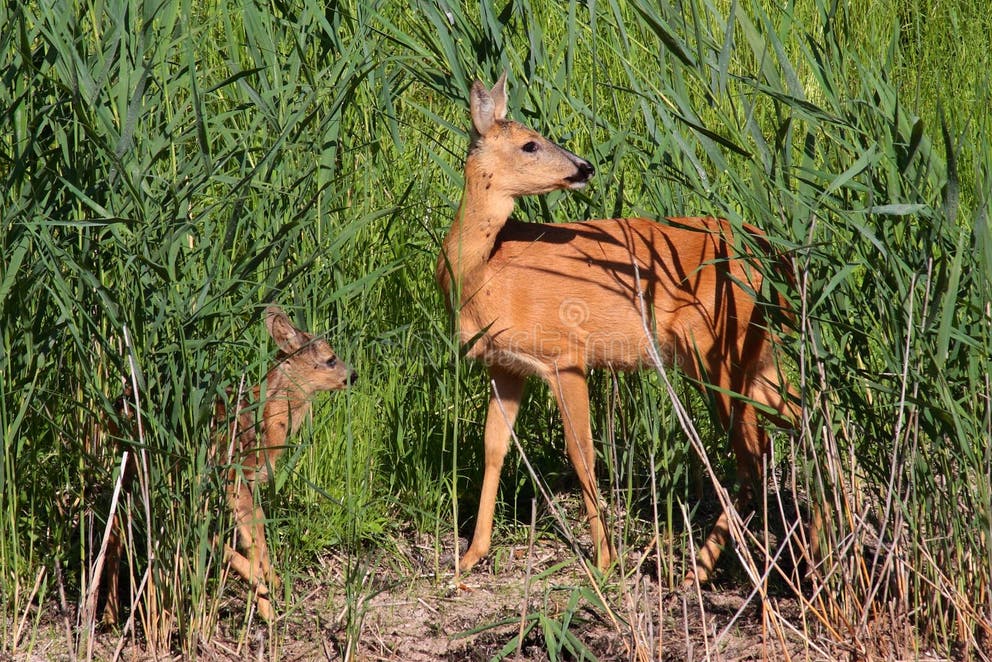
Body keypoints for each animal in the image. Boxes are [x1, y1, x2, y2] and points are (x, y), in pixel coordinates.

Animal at [99, 306, 356, 623]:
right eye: (330, 358)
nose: (354, 375)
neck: (267, 416)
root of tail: (114, 408)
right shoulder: (236, 474)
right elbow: (252, 536)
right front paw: (266, 601)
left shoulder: (248, 481)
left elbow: (255, 535)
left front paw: (272, 586)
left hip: (134, 464)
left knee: (118, 524)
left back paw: (109, 614)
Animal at [436, 73, 799, 587]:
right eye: (530, 144)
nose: (585, 166)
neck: (486, 272)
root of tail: (778, 257)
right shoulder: (506, 366)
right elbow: (494, 449)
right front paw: (471, 555)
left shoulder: (565, 354)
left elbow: (583, 454)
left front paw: (606, 561)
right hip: (757, 354)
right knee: (801, 418)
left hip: (716, 350)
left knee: (754, 453)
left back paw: (699, 569)